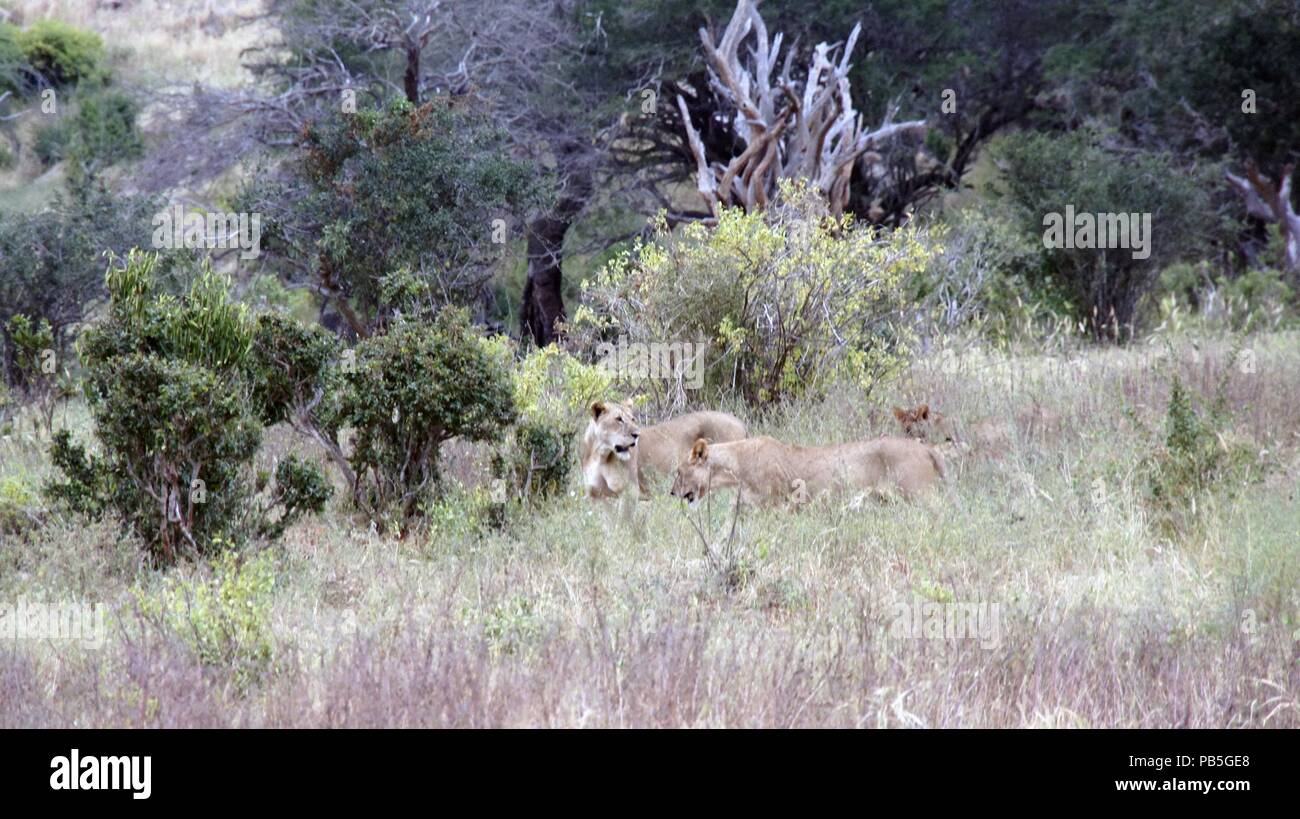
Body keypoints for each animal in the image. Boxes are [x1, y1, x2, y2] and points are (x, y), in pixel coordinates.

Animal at [580, 402, 747, 499]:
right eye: (618, 419)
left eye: (632, 419)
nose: (636, 434)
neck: (601, 456)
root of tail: (739, 422)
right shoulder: (596, 496)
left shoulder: (629, 492)